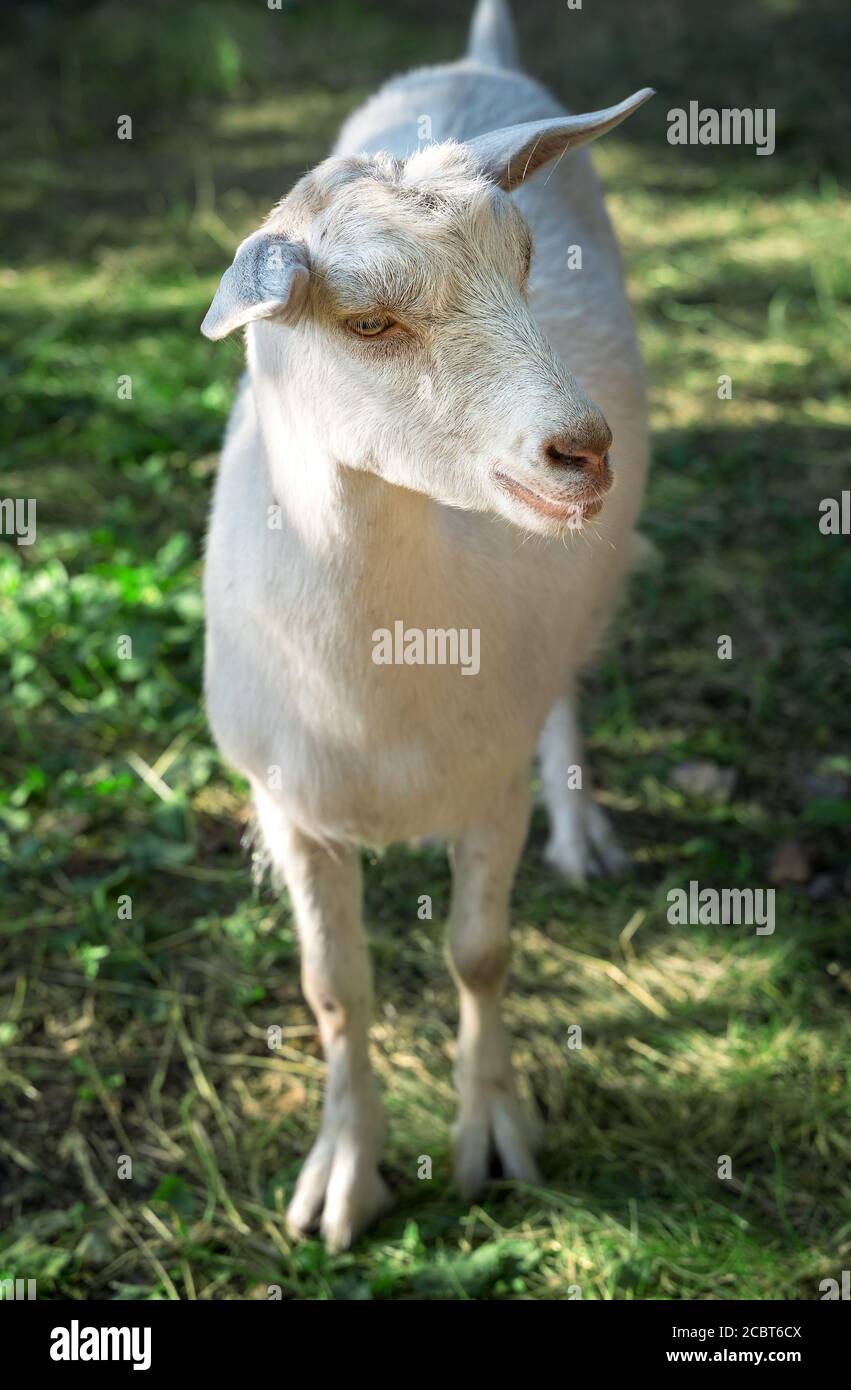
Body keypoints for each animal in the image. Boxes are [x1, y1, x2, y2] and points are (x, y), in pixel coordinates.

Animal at [201, 0, 652, 1251]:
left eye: (527, 264)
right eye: (365, 322)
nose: (580, 450)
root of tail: (476, 59)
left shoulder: (486, 784)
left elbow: (479, 954)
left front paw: (491, 1139)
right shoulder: (286, 805)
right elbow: (333, 989)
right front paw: (342, 1177)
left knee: (566, 683)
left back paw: (581, 826)